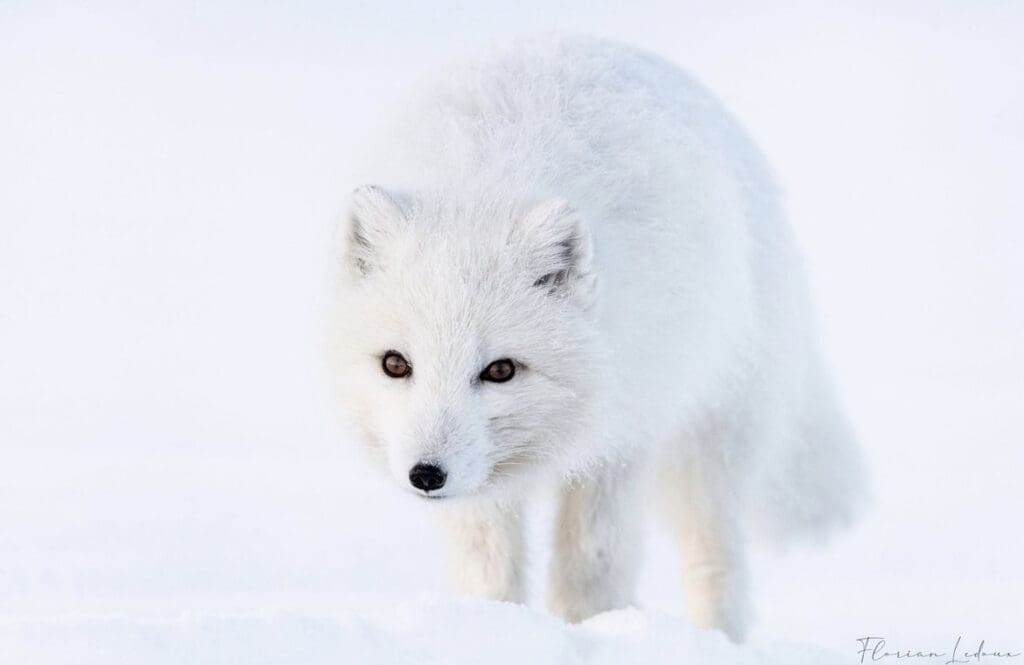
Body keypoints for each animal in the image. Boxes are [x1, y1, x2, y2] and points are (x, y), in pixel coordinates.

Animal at [330, 34, 866, 642]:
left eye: (500, 370)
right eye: (396, 364)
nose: (426, 475)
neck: (486, 181)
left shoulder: (624, 437)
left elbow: (592, 565)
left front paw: (594, 631)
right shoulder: (480, 483)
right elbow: (489, 568)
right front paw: (493, 626)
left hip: (710, 440)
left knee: (714, 559)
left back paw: (716, 641)